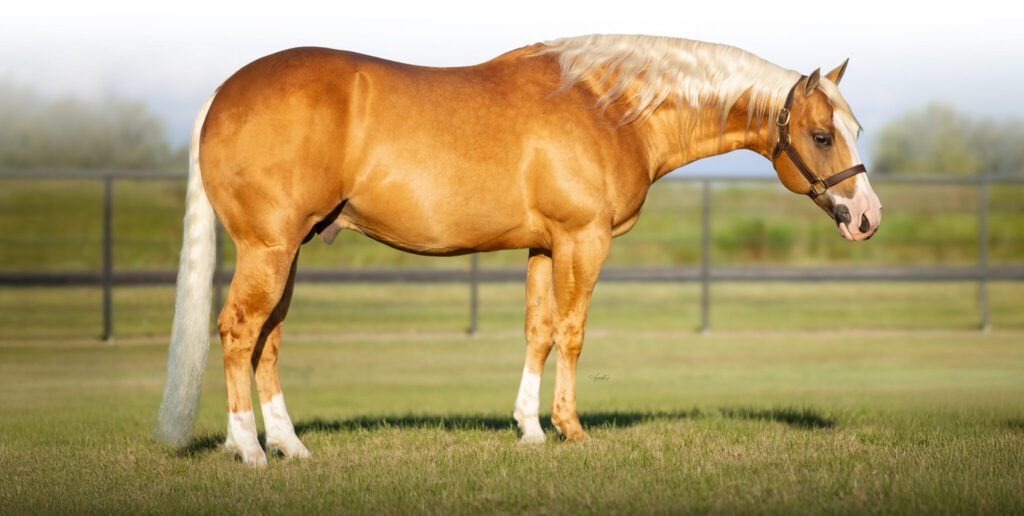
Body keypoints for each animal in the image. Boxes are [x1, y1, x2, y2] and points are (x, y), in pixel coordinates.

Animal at [155, 34, 881, 467]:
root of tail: (221, 93)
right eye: (821, 135)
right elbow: (573, 331)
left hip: (289, 252)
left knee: (268, 340)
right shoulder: (582, 240)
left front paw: (530, 429)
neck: (607, 106)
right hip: (268, 248)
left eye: (854, 128)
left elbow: (538, 332)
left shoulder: (543, 246)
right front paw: (571, 429)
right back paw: (248, 450)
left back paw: (290, 446)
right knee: (238, 330)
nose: (867, 217)